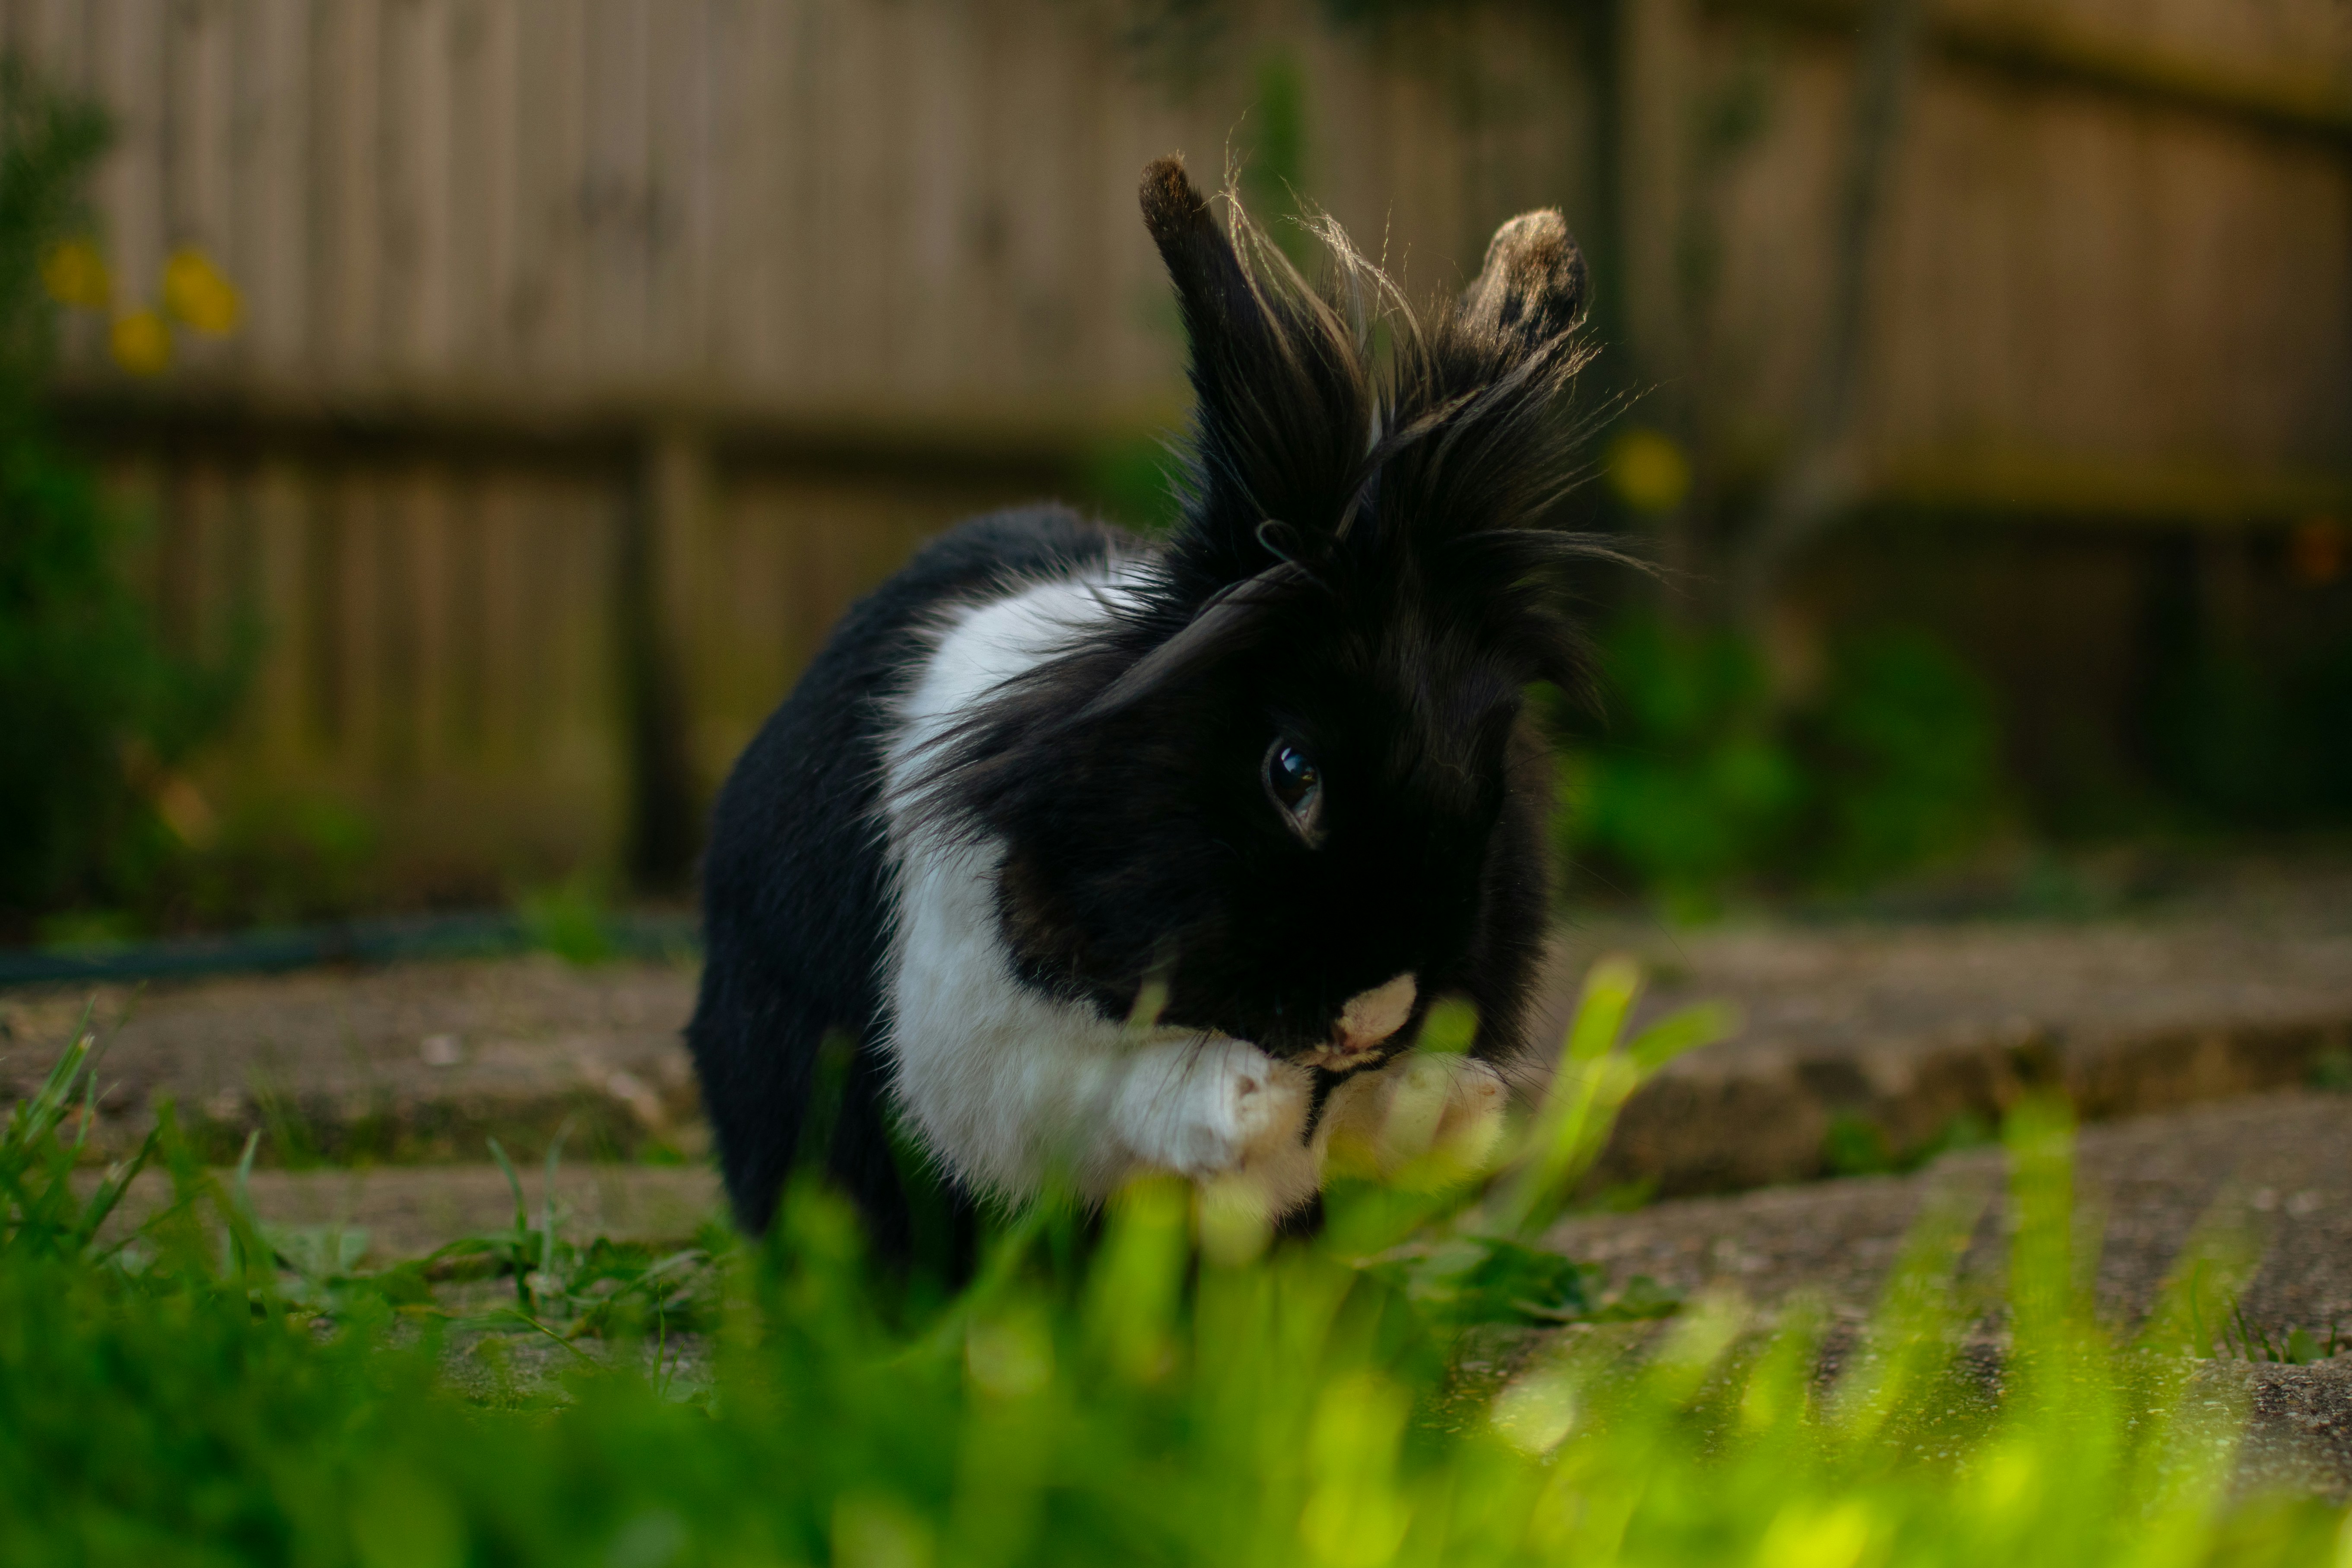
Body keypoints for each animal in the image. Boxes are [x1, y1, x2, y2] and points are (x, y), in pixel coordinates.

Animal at [689, 155, 1612, 1257]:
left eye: (1489, 778)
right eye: (1290, 772)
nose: (1374, 1015)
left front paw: (1440, 1103)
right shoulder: (975, 1040)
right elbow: (1114, 1092)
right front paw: (1248, 1098)